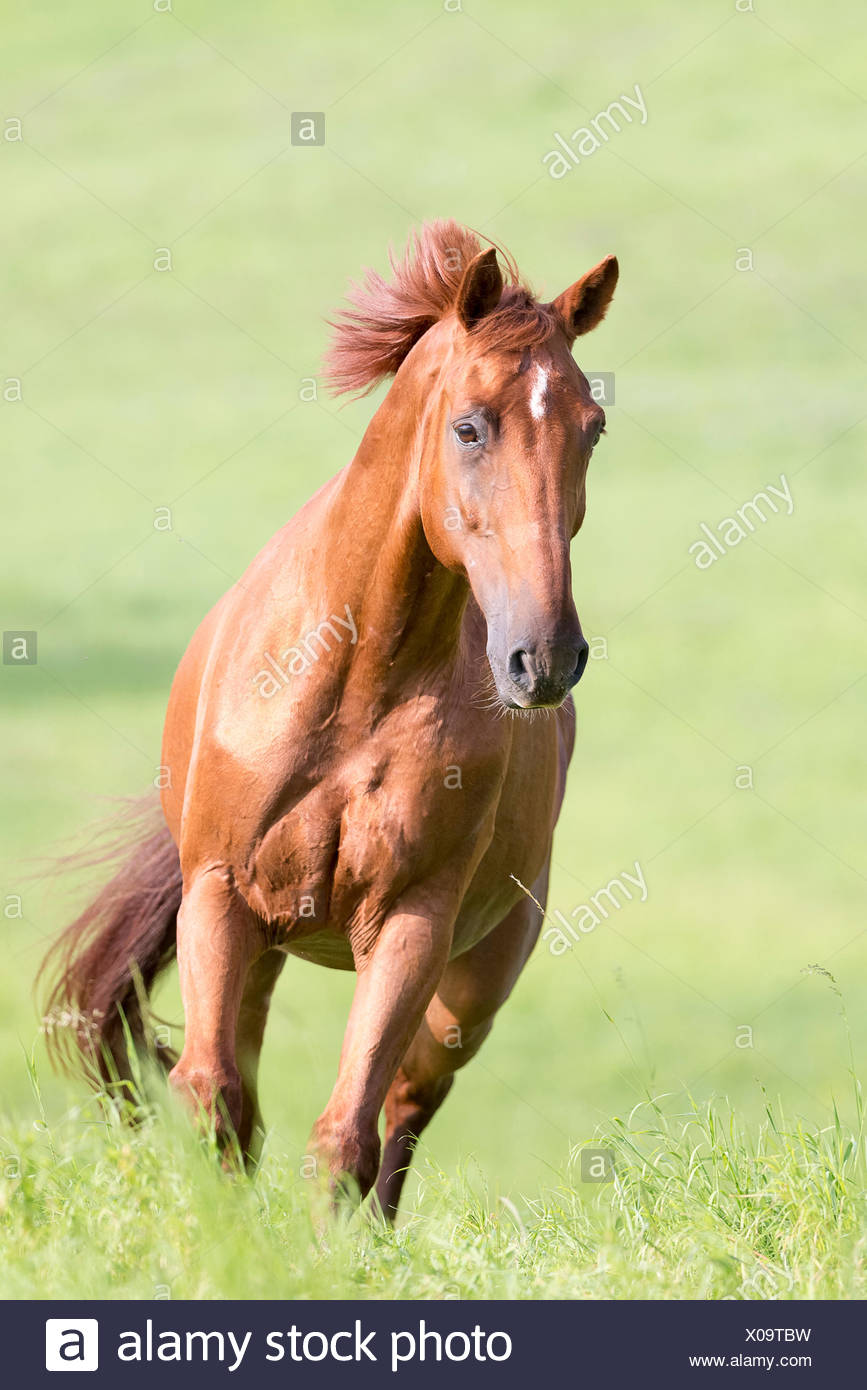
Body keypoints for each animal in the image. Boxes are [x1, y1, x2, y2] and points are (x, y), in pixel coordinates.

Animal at [40, 220, 618, 1219]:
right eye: (469, 426)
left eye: (593, 426)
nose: (544, 657)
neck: (356, 685)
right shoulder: (221, 897)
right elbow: (212, 1096)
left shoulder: (409, 922)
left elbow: (343, 1137)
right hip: (263, 947)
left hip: (470, 989)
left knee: (403, 1114)